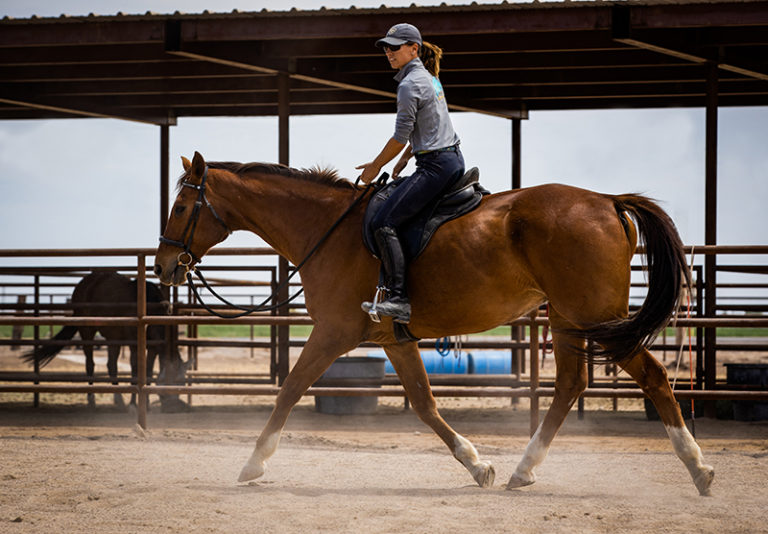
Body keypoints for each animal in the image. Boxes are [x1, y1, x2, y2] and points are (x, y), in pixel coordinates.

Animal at [22, 271, 189, 411]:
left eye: (182, 383)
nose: (174, 407)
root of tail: (83, 284)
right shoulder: (134, 344)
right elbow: (135, 370)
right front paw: (134, 404)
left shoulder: (153, 347)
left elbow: (147, 371)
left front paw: (145, 404)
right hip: (87, 332)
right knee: (90, 364)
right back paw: (92, 400)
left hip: (113, 338)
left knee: (111, 365)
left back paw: (118, 400)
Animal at [154, 151, 714, 496]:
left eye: (180, 205)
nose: (162, 267)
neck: (326, 229)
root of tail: (607, 201)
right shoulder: (391, 339)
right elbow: (424, 404)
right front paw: (477, 463)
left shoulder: (333, 332)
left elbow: (289, 388)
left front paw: (254, 463)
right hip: (569, 320)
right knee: (571, 385)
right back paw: (522, 470)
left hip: (594, 317)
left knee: (652, 377)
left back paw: (698, 468)